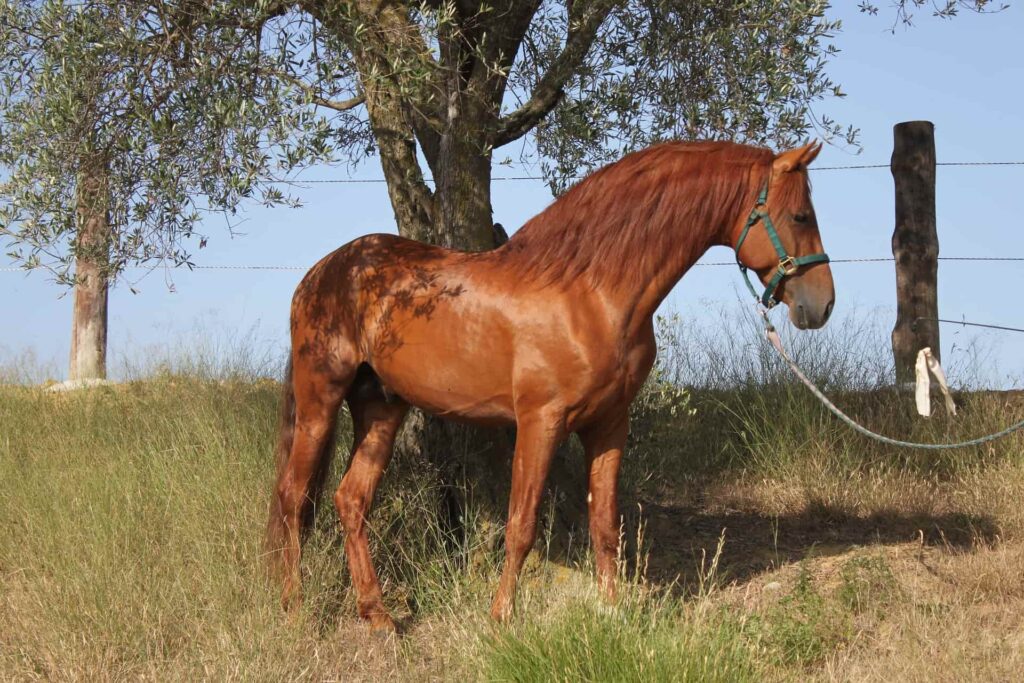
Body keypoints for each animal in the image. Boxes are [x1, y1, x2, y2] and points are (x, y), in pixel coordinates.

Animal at [265, 140, 834, 632]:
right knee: (293, 498)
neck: (590, 291)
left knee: (350, 499)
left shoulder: (609, 424)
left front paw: (612, 614)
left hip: (381, 406)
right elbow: (521, 526)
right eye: (801, 217)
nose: (821, 305)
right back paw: (292, 609)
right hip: (320, 398)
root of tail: (320, 273)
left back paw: (378, 616)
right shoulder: (540, 420)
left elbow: (604, 523)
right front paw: (500, 620)